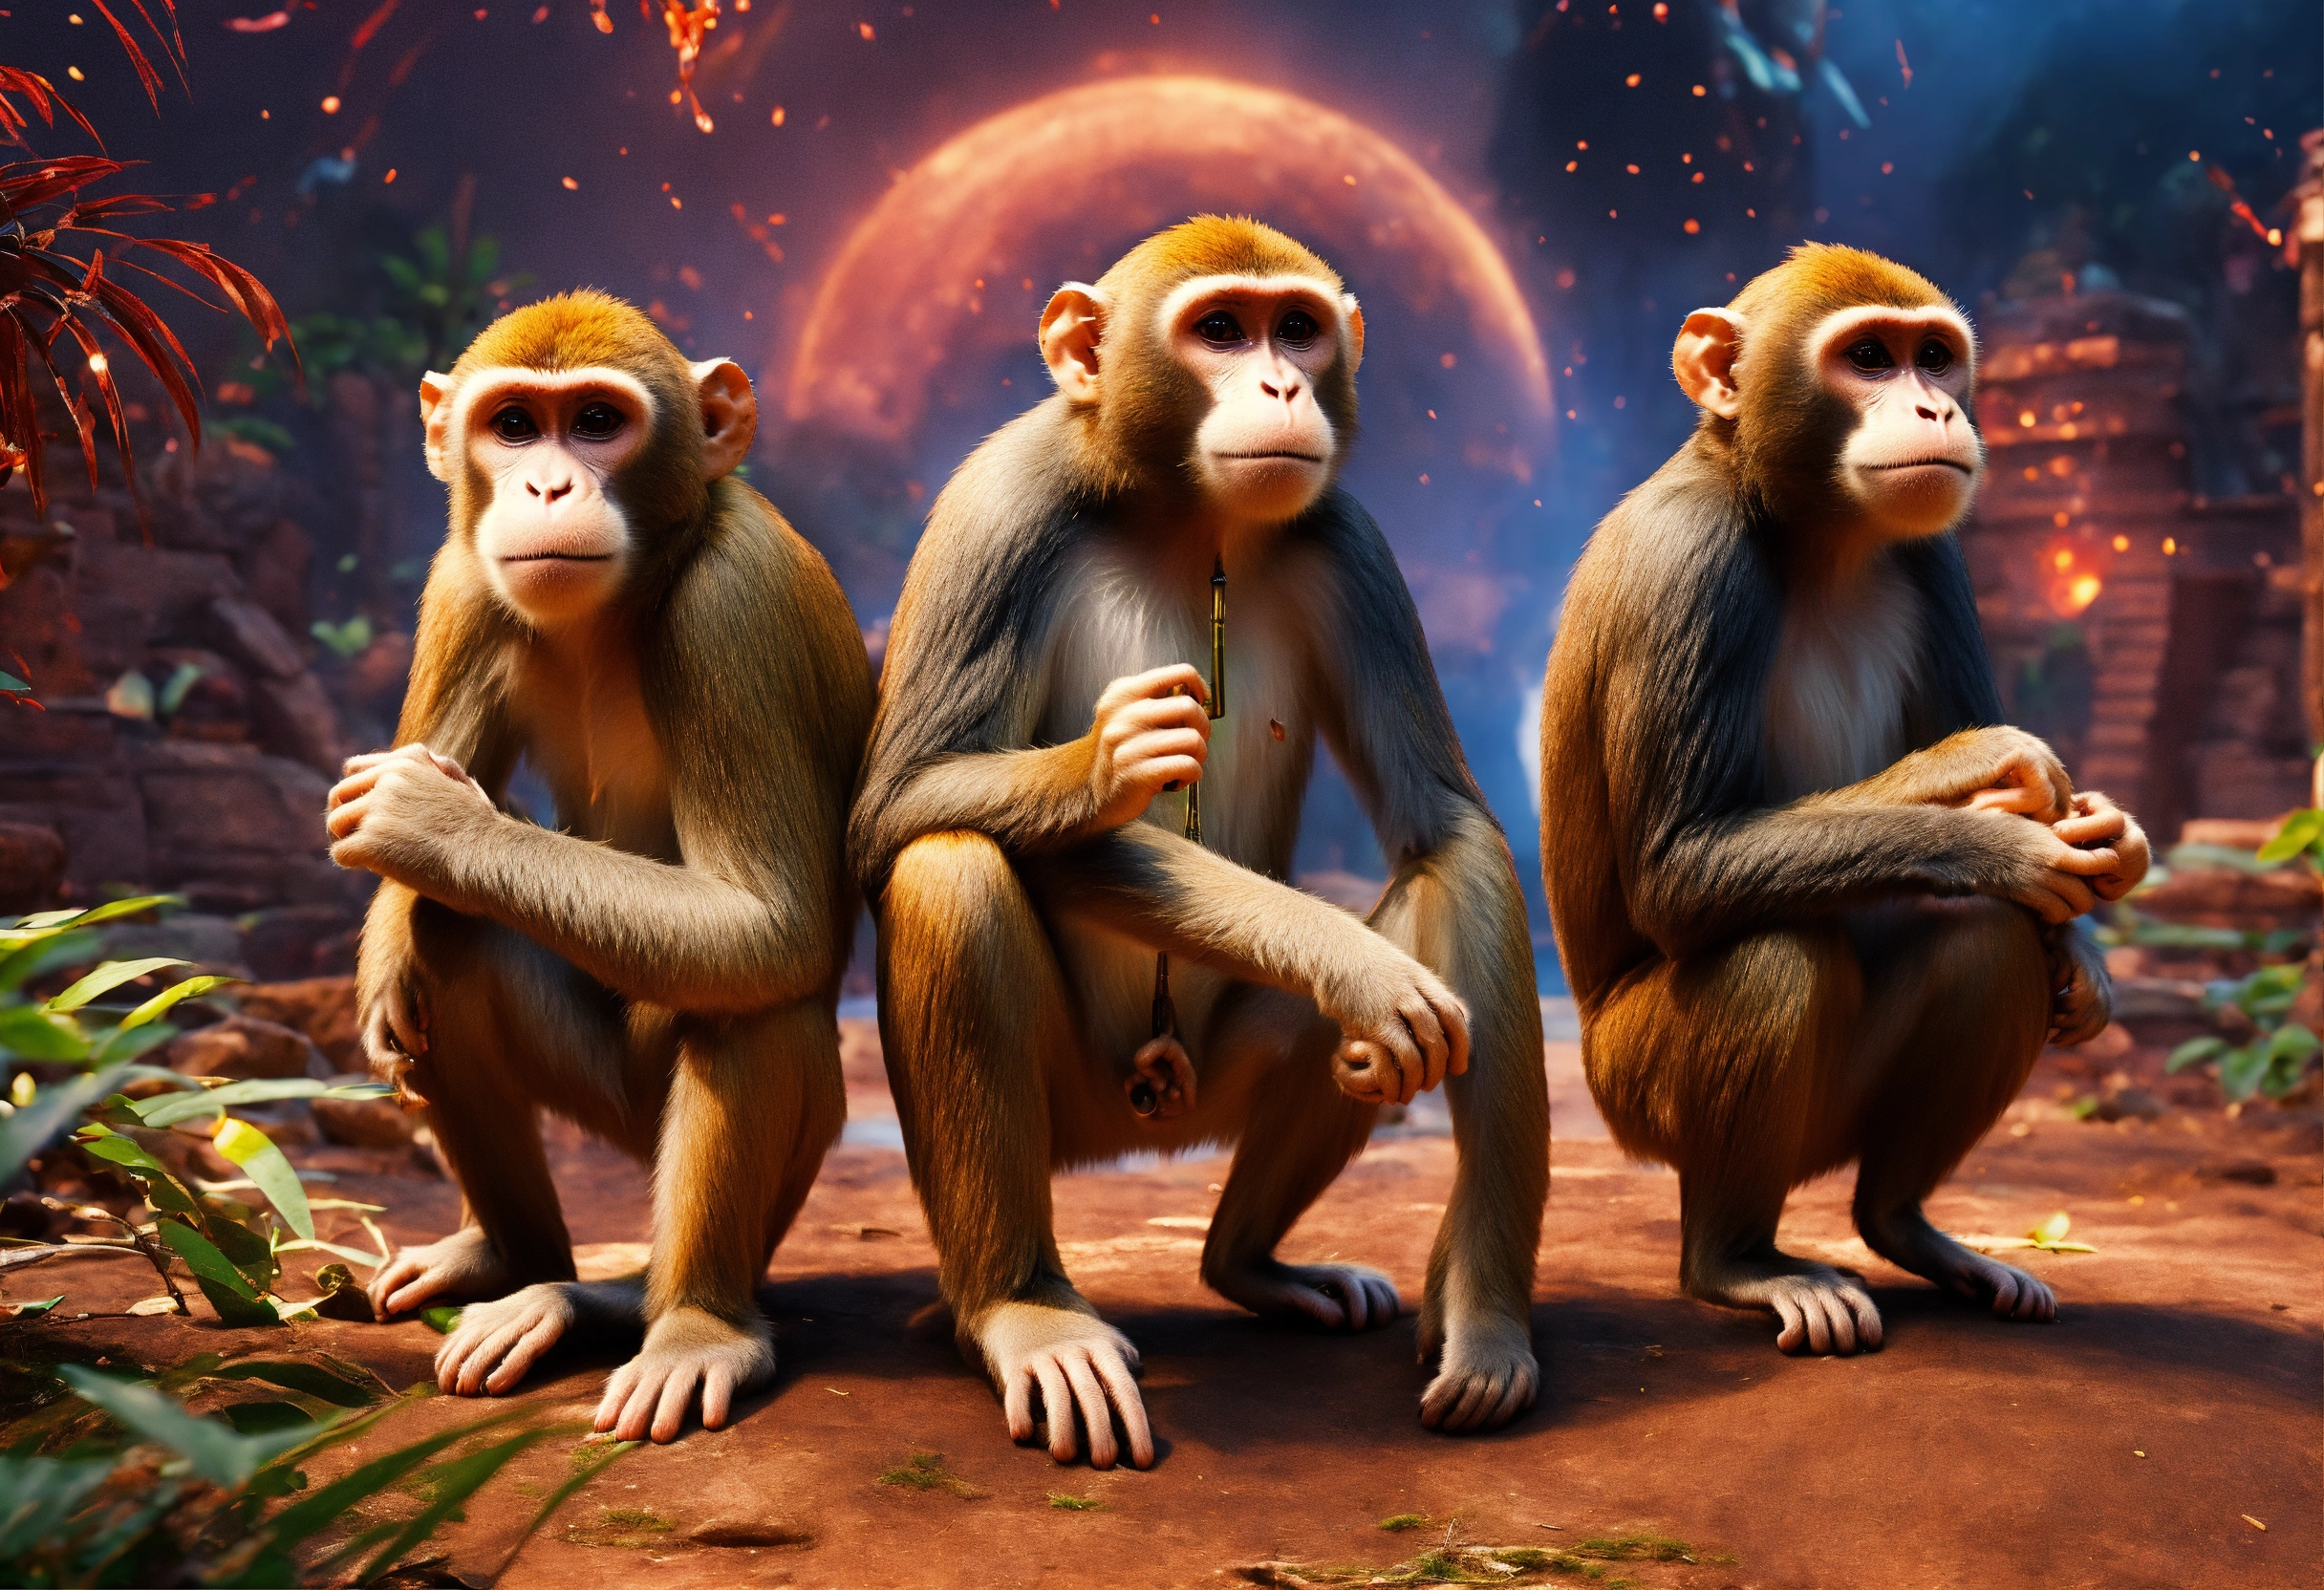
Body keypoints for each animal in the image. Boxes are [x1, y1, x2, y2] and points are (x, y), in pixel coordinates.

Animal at [323, 291, 873, 1443]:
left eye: (594, 422)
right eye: (514, 427)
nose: (545, 487)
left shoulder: (730, 605)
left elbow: (767, 927)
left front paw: (424, 820)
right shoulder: (461, 579)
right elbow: (415, 944)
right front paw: (385, 950)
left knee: (751, 1003)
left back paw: (681, 1321)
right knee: (451, 945)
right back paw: (520, 1262)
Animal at [849, 217, 1548, 1469]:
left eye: (1297, 330)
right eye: (1220, 329)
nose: (1280, 385)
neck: (1180, 511)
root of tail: (1140, 1118)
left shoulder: (1349, 541)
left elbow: (1448, 831)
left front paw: (1484, 1321)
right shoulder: (999, 507)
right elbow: (901, 802)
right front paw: (1107, 767)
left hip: (1213, 1077)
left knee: (1419, 921)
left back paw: (1249, 1259)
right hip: (1064, 1096)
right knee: (947, 866)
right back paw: (1018, 1310)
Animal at [1538, 244, 2150, 1357]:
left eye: (1933, 357)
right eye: (1867, 358)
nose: (1935, 409)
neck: (1811, 531)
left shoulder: (1935, 555)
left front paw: (2102, 871)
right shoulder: (1689, 564)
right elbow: (1682, 863)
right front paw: (2001, 806)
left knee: (1984, 939)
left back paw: (1904, 1224)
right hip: (1633, 1092)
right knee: (1773, 955)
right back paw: (1736, 1261)